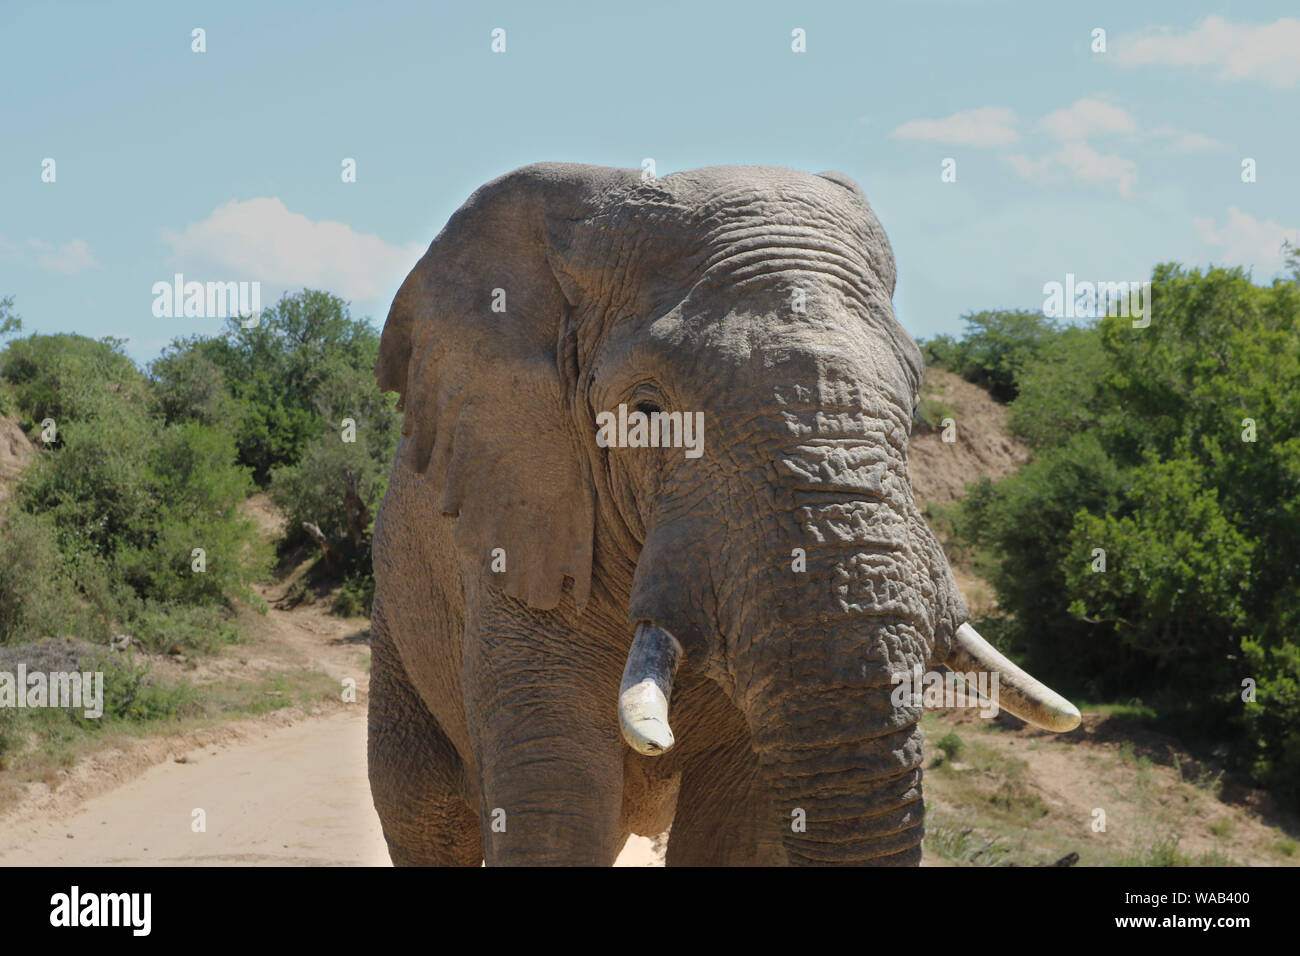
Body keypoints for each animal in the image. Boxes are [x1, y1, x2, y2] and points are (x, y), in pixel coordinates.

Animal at [366, 162, 1079, 866]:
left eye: (913, 403)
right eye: (648, 412)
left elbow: (734, 827)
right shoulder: (519, 530)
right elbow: (555, 807)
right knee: (424, 816)